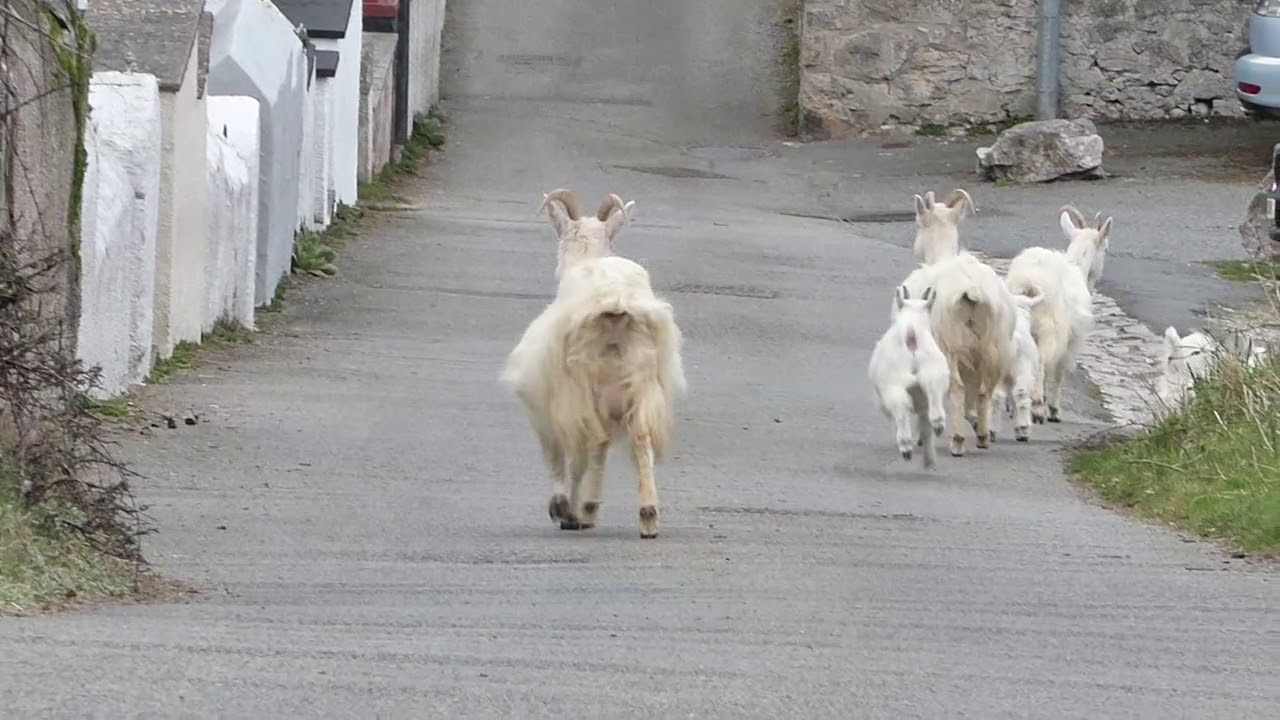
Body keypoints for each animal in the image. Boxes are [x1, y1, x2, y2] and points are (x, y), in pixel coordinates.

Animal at [503, 189, 685, 539]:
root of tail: (615, 302)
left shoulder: (547, 401)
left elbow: (560, 454)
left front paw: (563, 508)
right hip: (641, 380)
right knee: (639, 440)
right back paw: (647, 516)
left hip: (582, 383)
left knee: (592, 443)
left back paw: (581, 509)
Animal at [868, 285, 950, 468]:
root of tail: (911, 336)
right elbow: (925, 428)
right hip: (933, 371)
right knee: (934, 399)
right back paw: (938, 426)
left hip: (893, 385)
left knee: (901, 411)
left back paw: (906, 447)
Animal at [898, 252, 1019, 456]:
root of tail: (971, 289)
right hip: (993, 348)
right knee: (984, 391)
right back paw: (982, 436)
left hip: (949, 348)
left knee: (958, 388)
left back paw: (958, 441)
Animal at [1003, 244, 1094, 424]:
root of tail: (1029, 282)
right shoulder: (1068, 347)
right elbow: (1059, 376)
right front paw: (1053, 410)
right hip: (1049, 333)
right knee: (1039, 367)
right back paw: (1037, 408)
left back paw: (1012, 405)